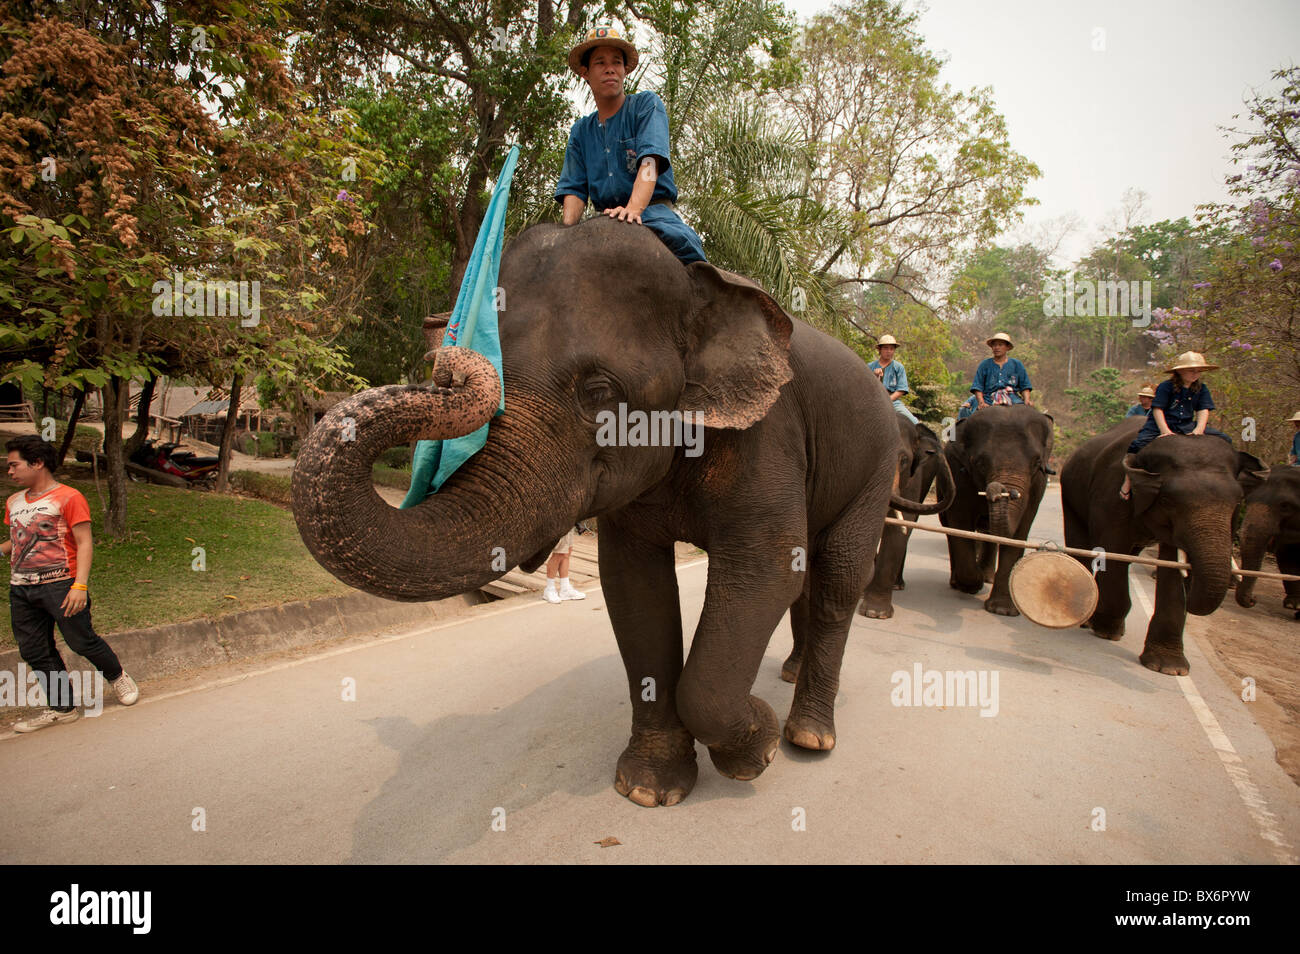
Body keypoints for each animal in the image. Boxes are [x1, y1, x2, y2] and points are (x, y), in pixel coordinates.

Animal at [291, 215, 935, 808]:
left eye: (598, 392)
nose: (445, 362)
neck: (696, 286)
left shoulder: (767, 436)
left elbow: (768, 569)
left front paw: (759, 746)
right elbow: (633, 586)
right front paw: (650, 788)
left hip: (875, 468)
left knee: (837, 578)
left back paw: (808, 735)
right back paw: (789, 679)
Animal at [939, 404, 1054, 615]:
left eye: (1036, 462)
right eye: (980, 462)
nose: (1001, 490)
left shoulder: (1038, 484)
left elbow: (1020, 531)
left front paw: (1002, 610)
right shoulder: (957, 473)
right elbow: (960, 524)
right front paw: (971, 585)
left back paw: (987, 578)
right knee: (950, 530)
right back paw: (961, 581)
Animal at [1061, 416, 1269, 674]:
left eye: (1237, 501)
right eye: (1168, 500)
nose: (1254, 601)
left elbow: (1171, 565)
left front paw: (1168, 668)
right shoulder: (1111, 494)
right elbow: (1113, 549)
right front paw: (1106, 630)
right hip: (1071, 495)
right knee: (1083, 545)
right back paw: (1084, 618)